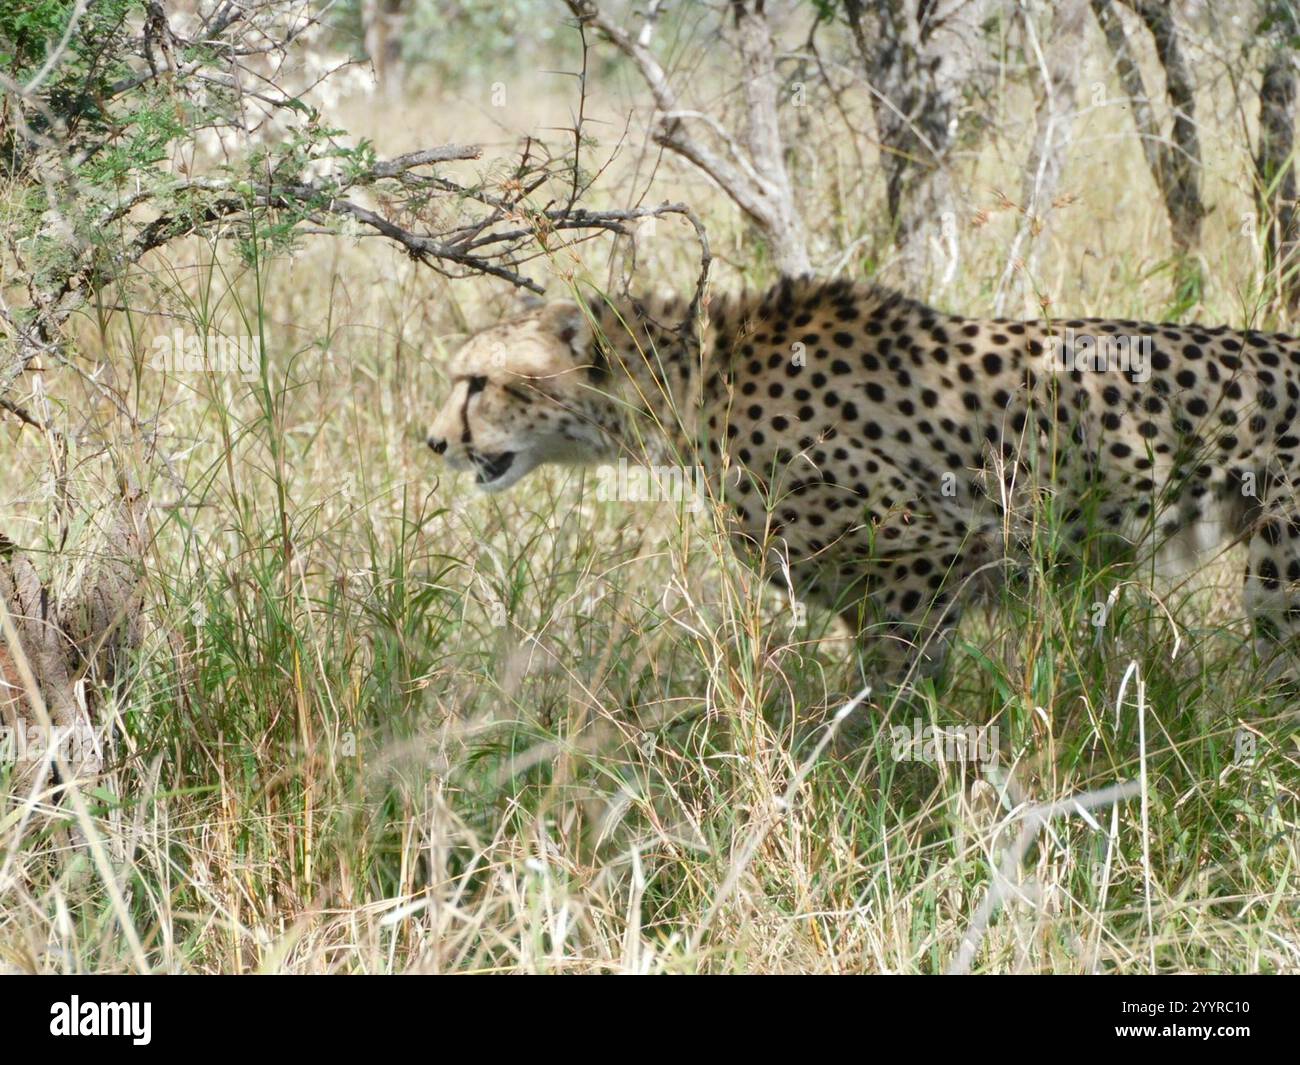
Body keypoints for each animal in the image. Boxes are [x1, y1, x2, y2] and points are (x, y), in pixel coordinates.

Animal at [425, 277, 1300, 685]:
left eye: (478, 383)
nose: (434, 442)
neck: (694, 384)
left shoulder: (928, 556)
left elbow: (892, 705)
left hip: (1280, 583)